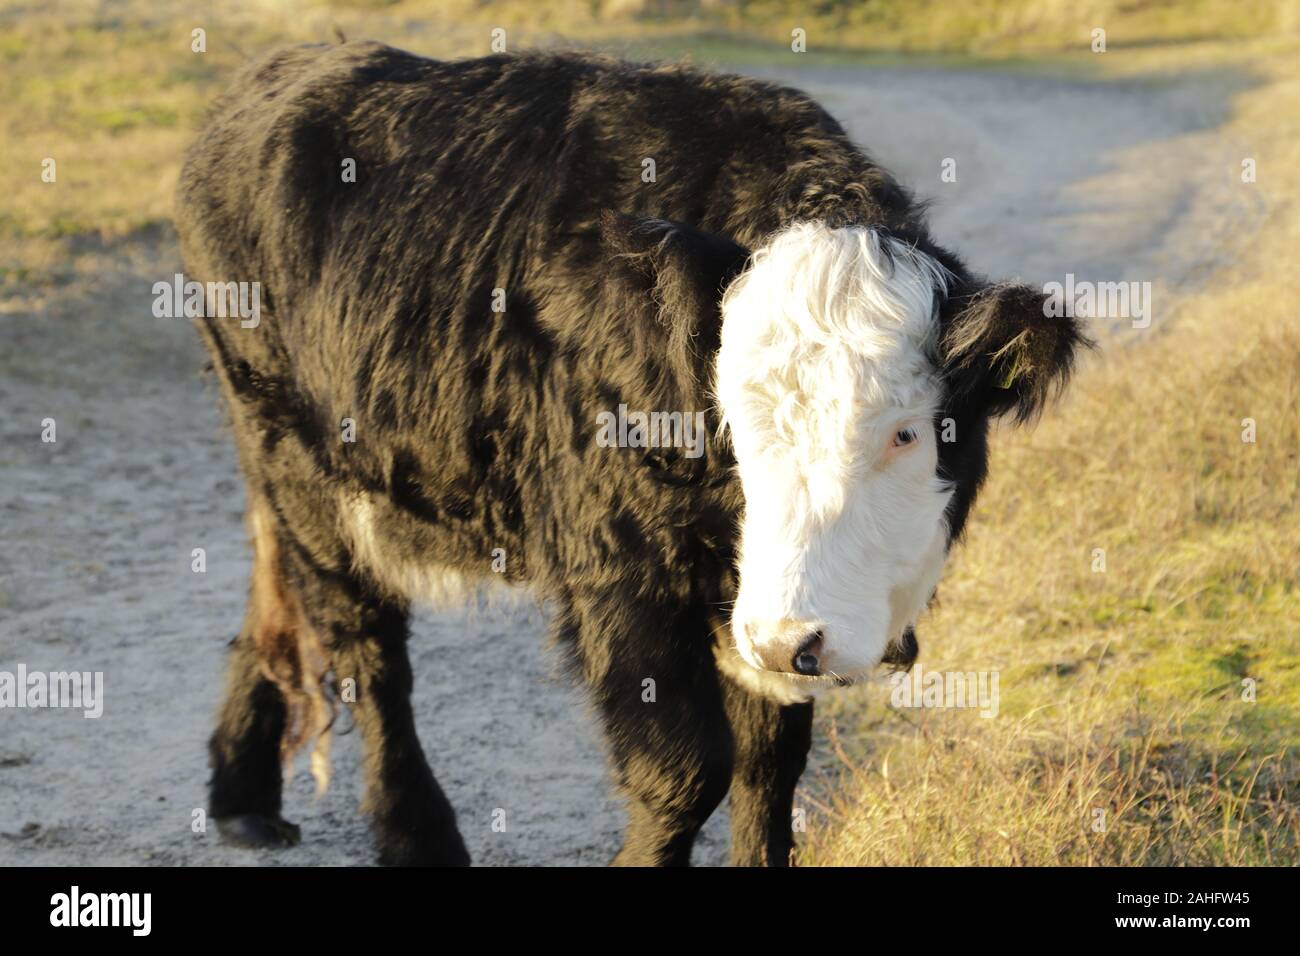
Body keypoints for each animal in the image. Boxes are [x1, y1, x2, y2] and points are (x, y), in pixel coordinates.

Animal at [174, 41, 1087, 866]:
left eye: (906, 431)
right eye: (734, 423)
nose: (790, 638)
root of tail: (277, 75)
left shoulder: (746, 601)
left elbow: (769, 764)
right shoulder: (616, 569)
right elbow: (684, 768)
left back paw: (243, 800)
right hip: (305, 471)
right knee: (370, 654)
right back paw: (415, 839)